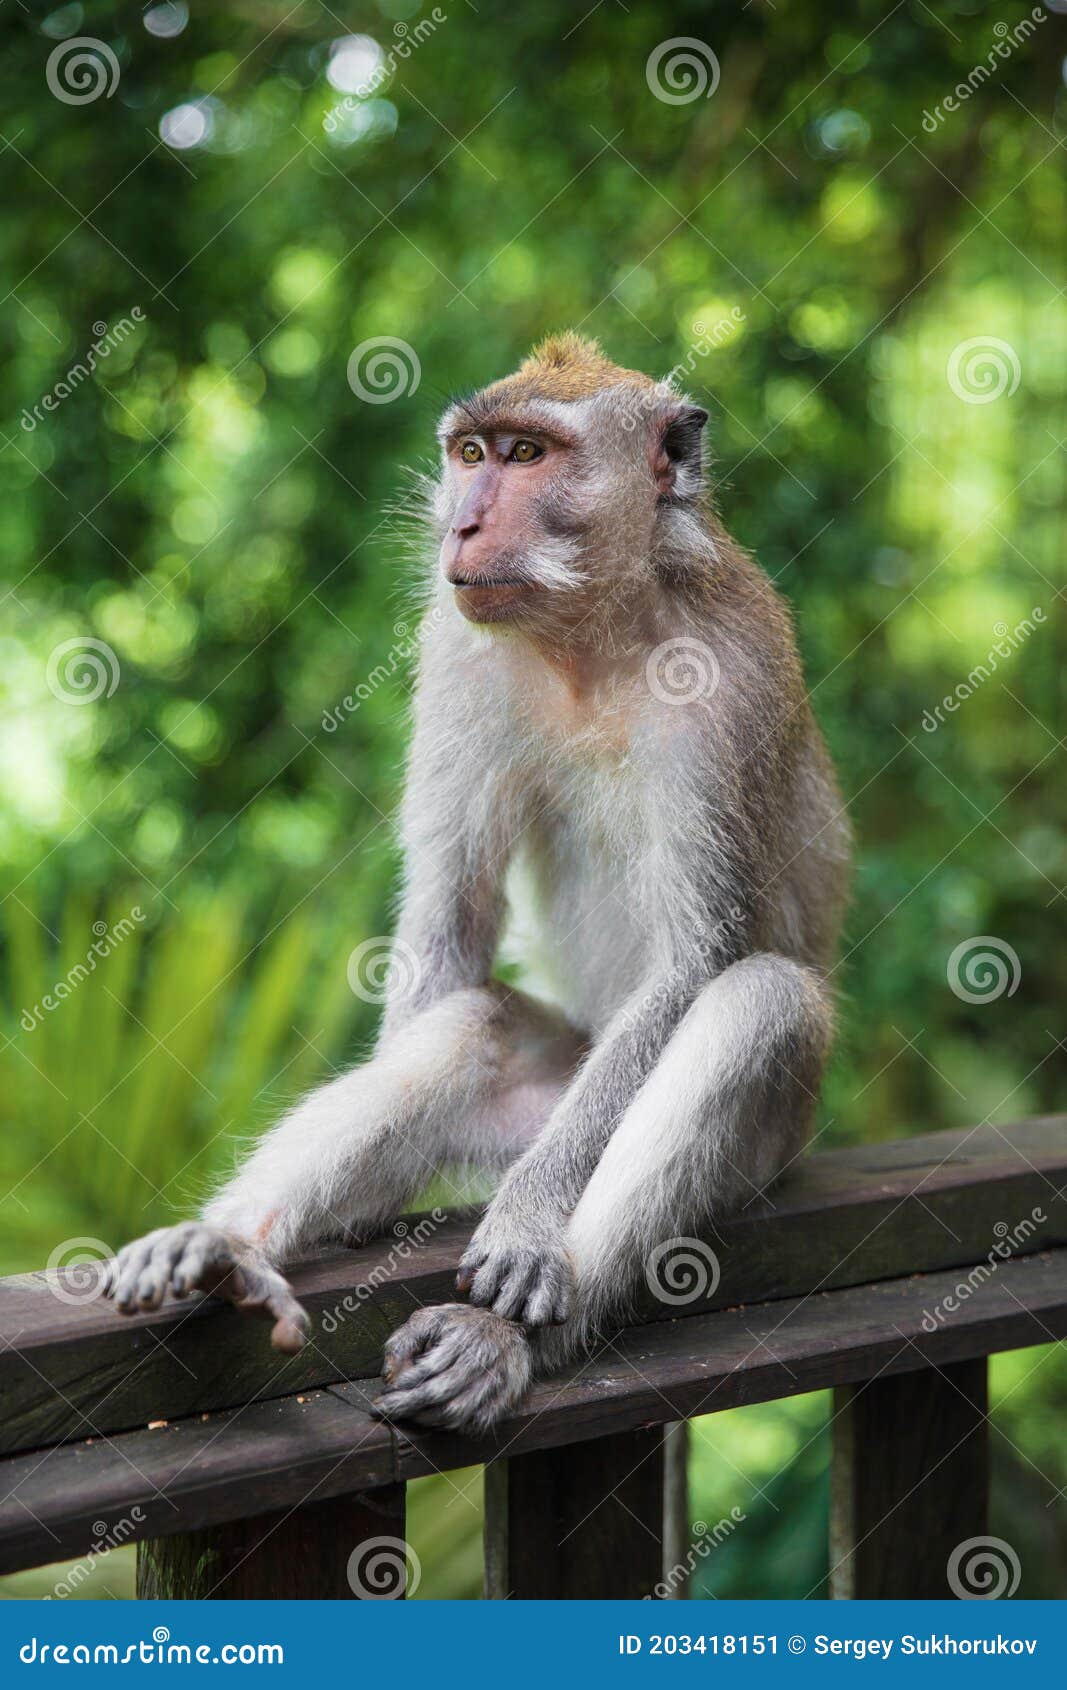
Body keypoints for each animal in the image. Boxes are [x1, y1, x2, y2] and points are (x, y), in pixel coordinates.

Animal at [102, 333, 850, 1434]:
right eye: (470, 452)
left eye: (528, 454)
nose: (461, 519)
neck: (596, 630)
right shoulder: (456, 651)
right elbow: (449, 916)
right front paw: (343, 1213)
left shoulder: (730, 684)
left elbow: (694, 962)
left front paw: (532, 1230)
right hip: (524, 1109)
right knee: (469, 1026)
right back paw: (229, 1246)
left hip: (759, 1148)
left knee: (759, 1004)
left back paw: (512, 1330)